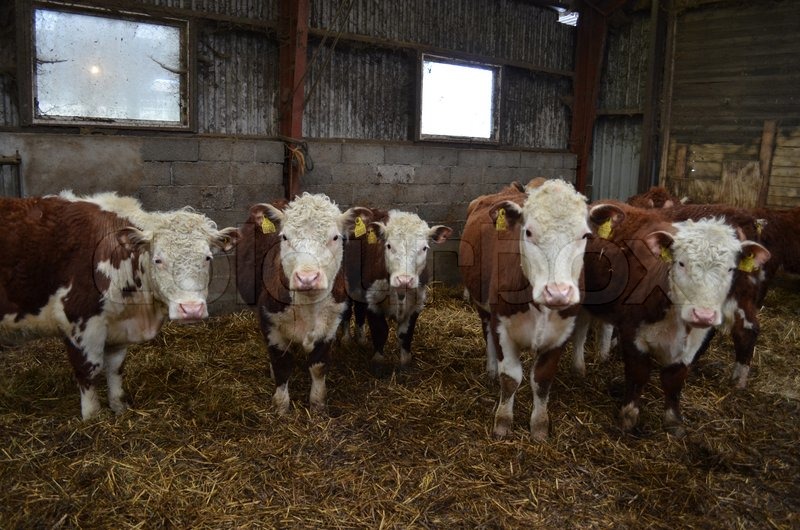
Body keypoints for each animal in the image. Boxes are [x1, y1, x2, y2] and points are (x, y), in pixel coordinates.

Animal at [0, 191, 240, 419]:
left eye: (207, 258)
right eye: (158, 260)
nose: (191, 309)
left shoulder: (118, 326)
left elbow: (115, 368)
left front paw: (119, 407)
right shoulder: (79, 321)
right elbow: (88, 371)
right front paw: (92, 417)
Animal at [236, 193, 364, 414]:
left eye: (335, 237)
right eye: (284, 237)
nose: (307, 278)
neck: (308, 306)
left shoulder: (329, 327)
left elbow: (318, 367)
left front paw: (318, 405)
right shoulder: (270, 323)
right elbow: (281, 365)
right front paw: (281, 407)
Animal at [342, 208, 451, 374]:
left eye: (424, 248)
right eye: (388, 246)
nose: (404, 280)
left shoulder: (416, 305)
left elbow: (405, 335)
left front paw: (405, 365)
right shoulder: (373, 301)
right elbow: (380, 331)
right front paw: (378, 364)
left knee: (359, 309)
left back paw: (361, 340)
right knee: (348, 310)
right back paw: (346, 339)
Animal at [459, 178, 624, 439]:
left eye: (585, 234)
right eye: (528, 231)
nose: (558, 292)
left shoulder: (561, 332)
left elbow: (543, 379)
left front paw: (539, 426)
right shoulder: (501, 325)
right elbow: (510, 378)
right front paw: (503, 422)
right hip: (483, 307)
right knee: (487, 336)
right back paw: (491, 370)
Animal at [577, 202, 769, 435]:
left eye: (731, 268)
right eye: (681, 263)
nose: (703, 314)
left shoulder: (692, 343)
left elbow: (674, 380)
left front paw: (673, 421)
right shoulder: (632, 334)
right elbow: (638, 374)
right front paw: (628, 417)